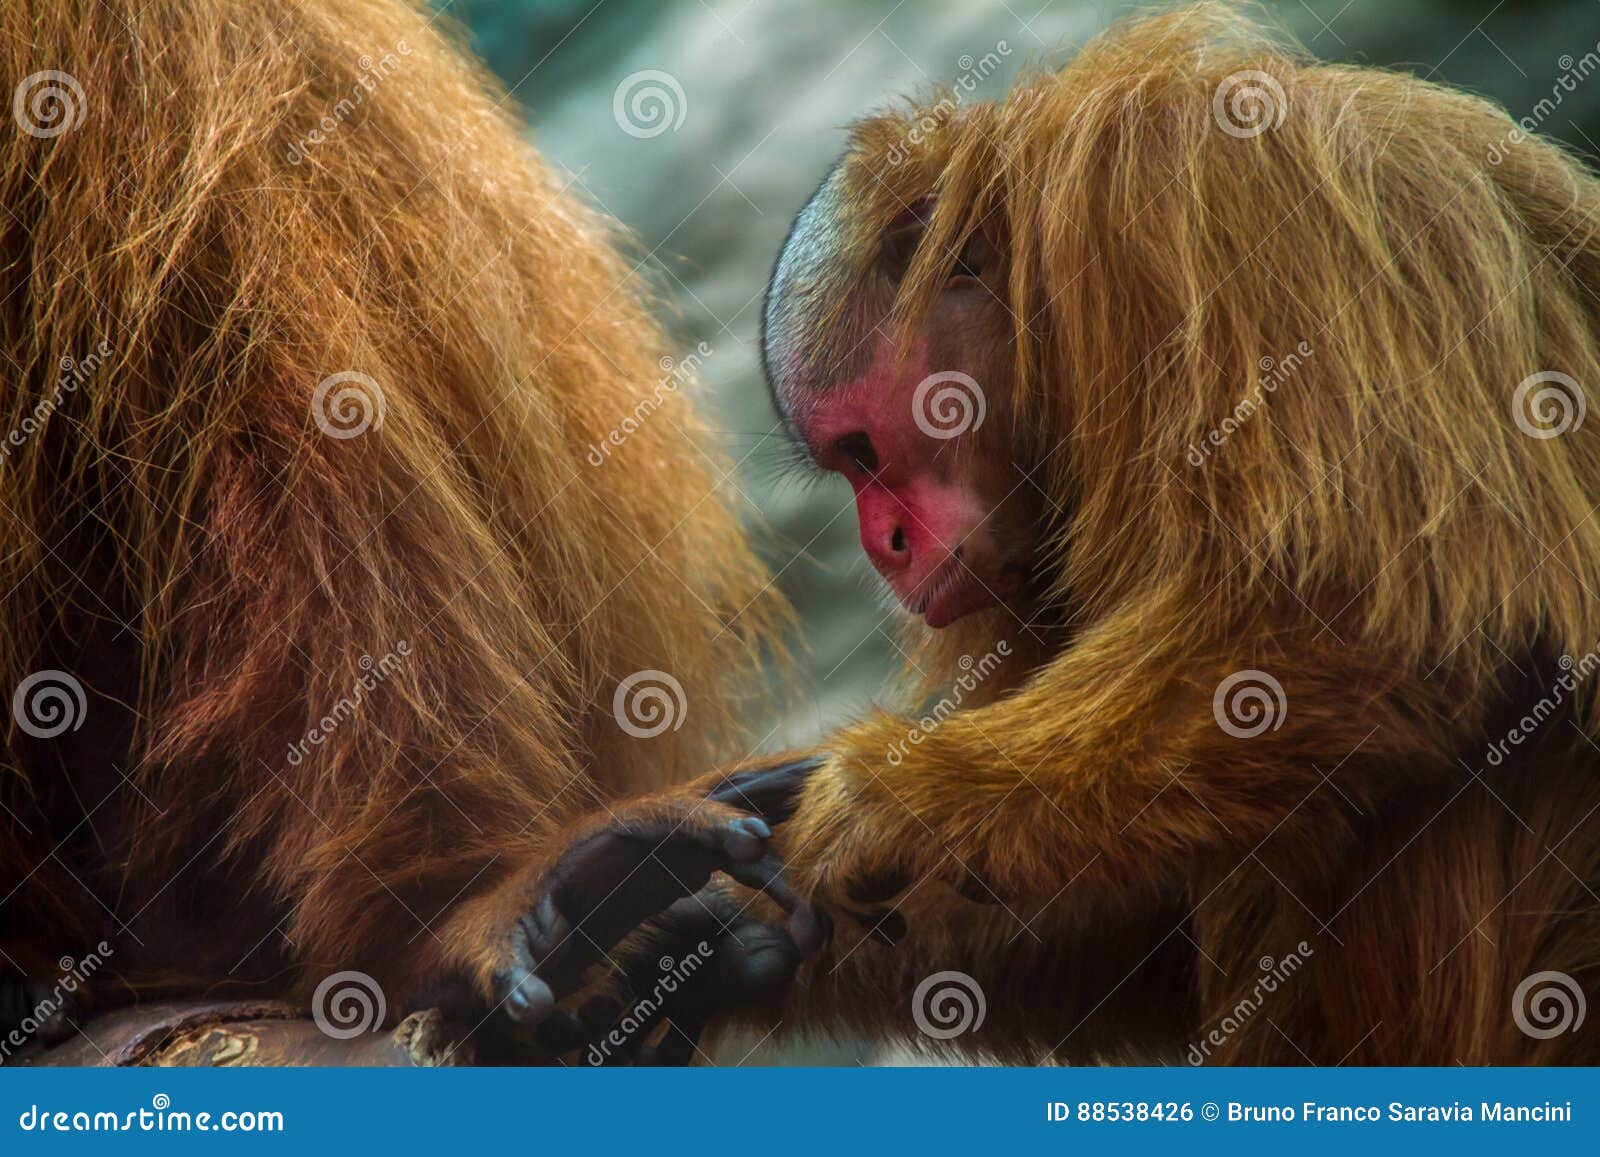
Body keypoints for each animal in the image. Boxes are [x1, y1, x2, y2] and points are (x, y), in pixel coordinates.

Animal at [512, 3, 1600, 1065]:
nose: (880, 544)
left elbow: (1388, 614)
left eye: (863, 452)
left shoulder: (1213, 191)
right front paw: (674, 929)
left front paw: (889, 800)